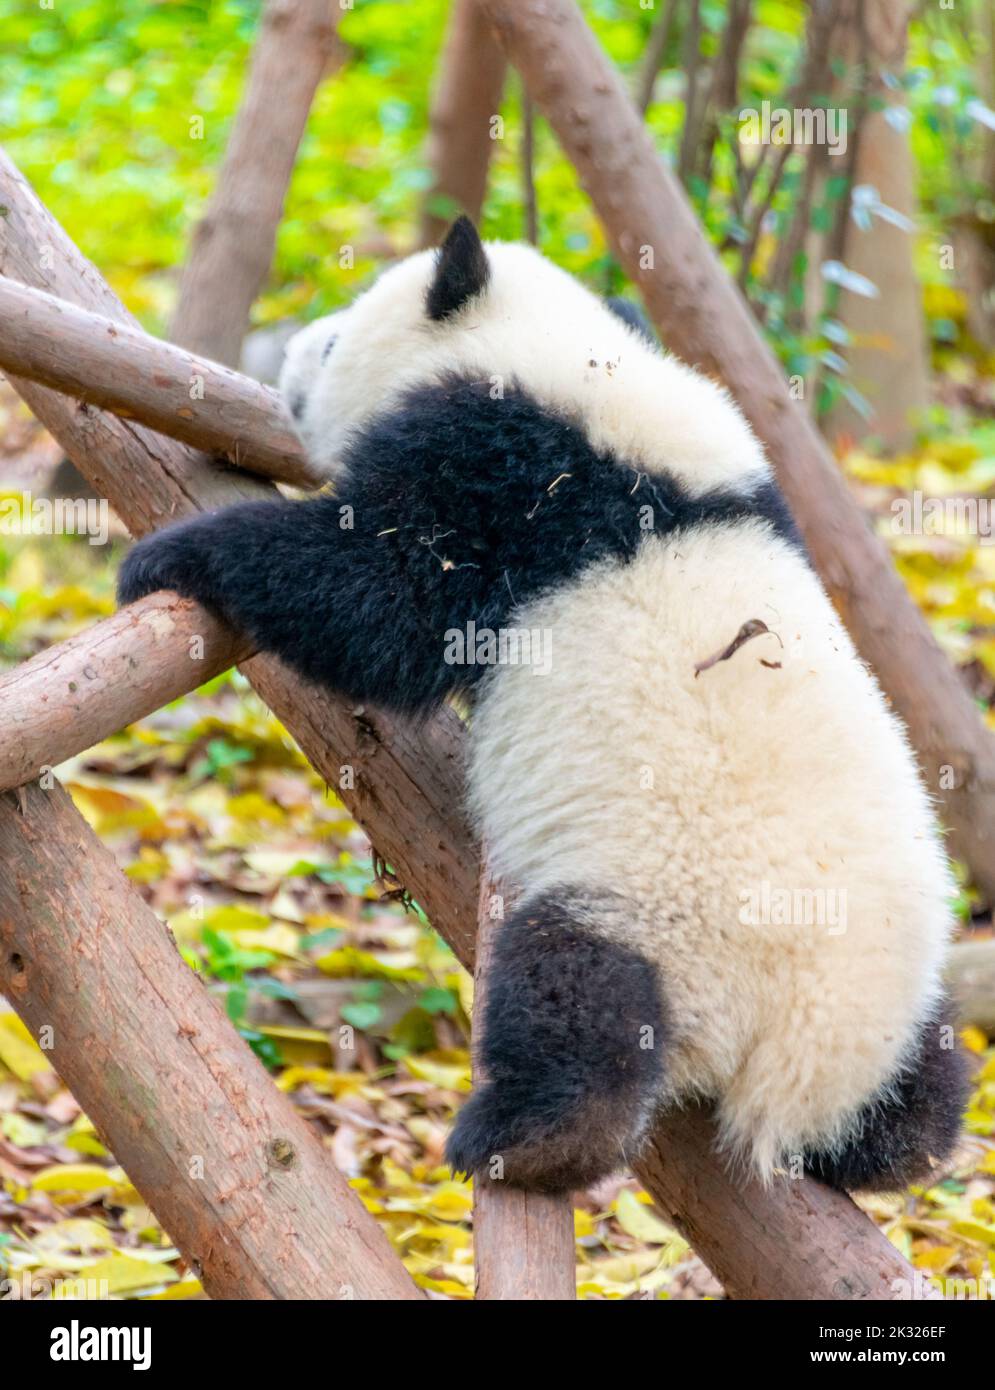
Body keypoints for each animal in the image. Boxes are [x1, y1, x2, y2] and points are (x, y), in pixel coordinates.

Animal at [119, 217, 968, 1195]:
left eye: (335, 341)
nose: (293, 357)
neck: (575, 364)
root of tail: (802, 1056)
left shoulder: (503, 472)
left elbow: (381, 596)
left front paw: (172, 556)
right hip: (902, 988)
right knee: (931, 1081)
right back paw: (899, 1142)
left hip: (655, 917)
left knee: (573, 996)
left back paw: (529, 1137)